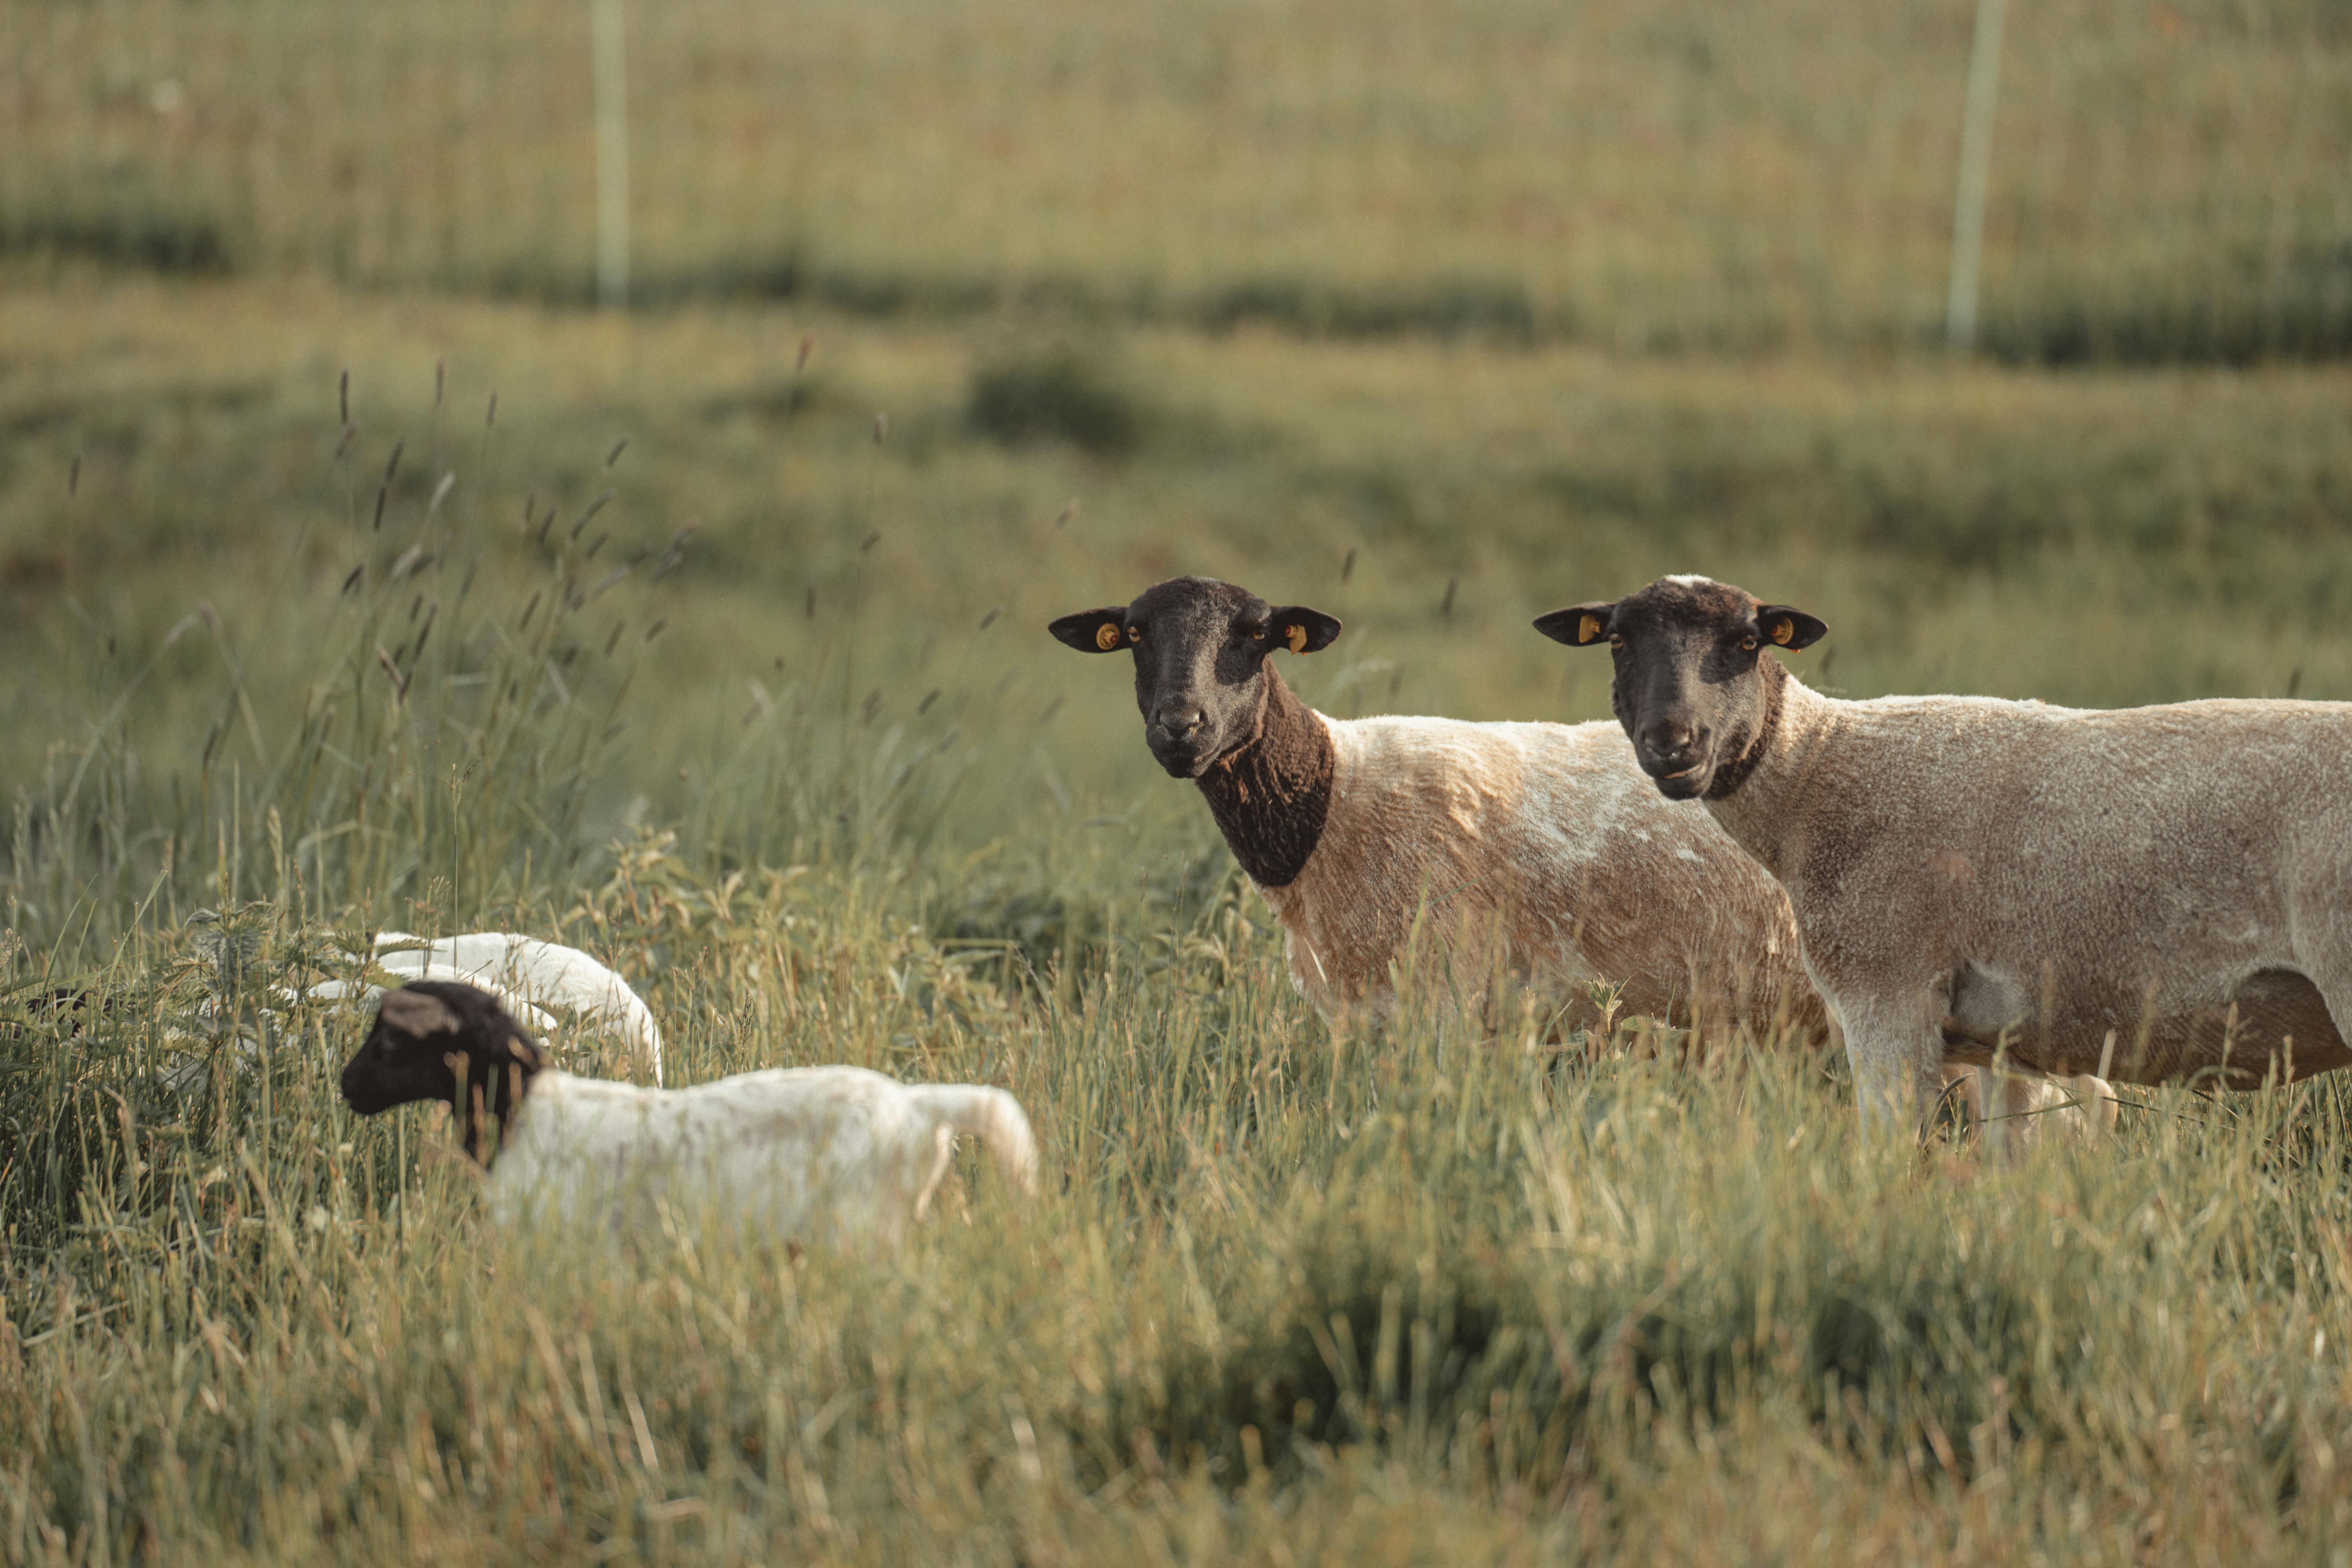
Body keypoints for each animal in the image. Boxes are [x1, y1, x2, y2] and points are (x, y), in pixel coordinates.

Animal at [1536, 573, 2352, 1135]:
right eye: (1618, 641)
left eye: (1747, 643)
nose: (1673, 746)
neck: (1813, 774)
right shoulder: (2004, 1049)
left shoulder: (1887, 995)